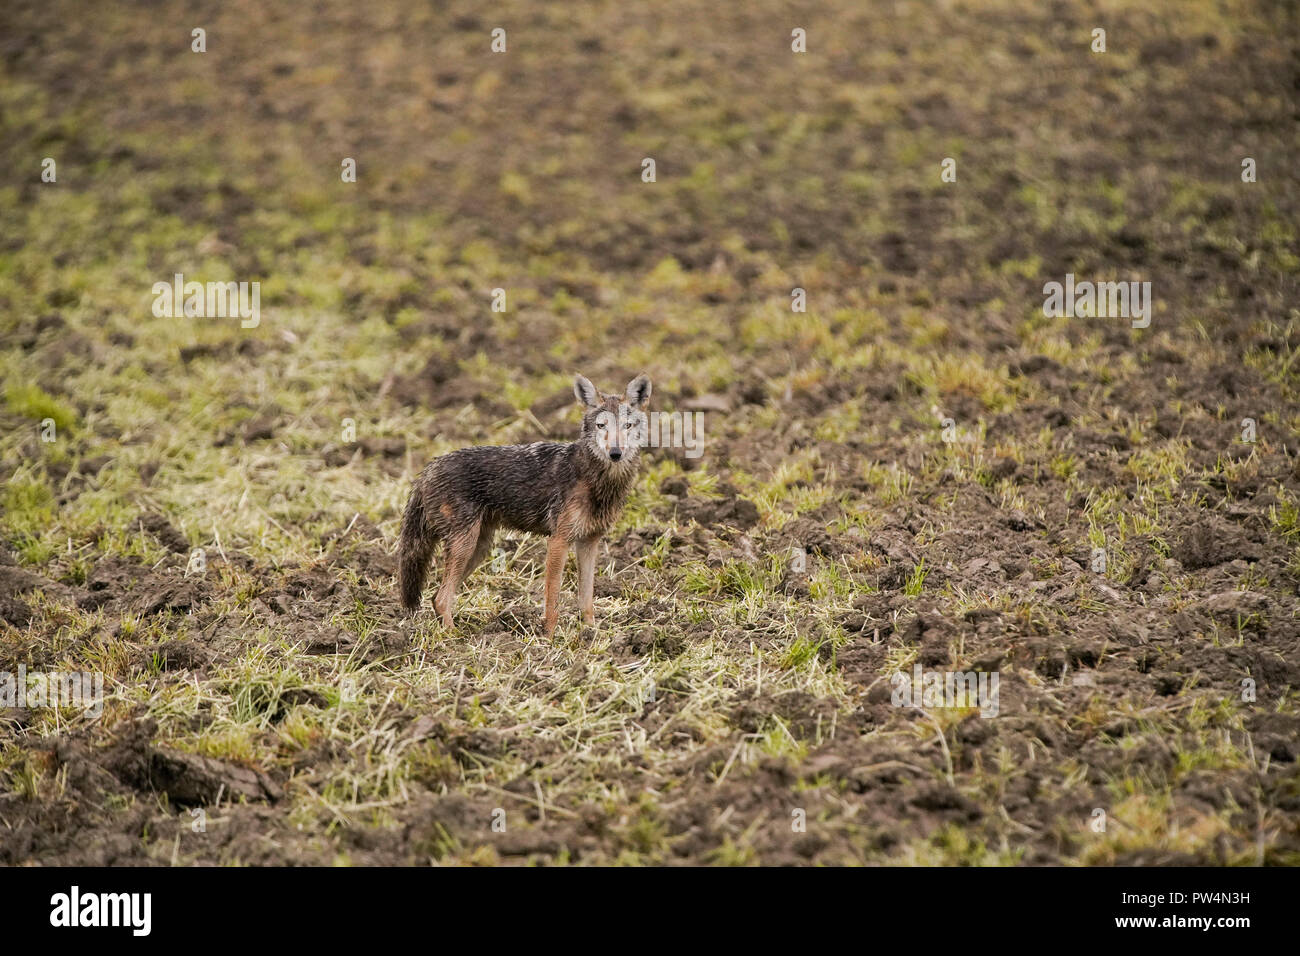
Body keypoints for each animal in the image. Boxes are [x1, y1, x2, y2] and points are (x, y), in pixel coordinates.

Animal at [398, 372, 652, 637]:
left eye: (627, 425)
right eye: (602, 426)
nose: (615, 453)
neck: (597, 481)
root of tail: (428, 469)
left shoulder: (589, 543)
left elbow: (586, 600)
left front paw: (590, 634)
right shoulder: (558, 541)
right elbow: (552, 600)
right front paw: (549, 639)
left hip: (478, 548)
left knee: (436, 596)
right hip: (465, 546)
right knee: (441, 598)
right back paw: (454, 637)